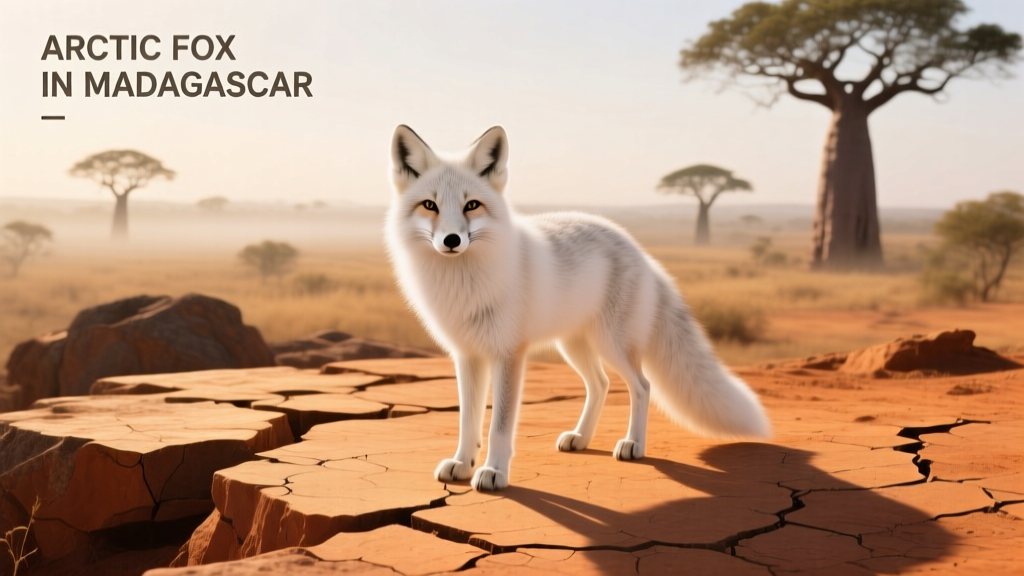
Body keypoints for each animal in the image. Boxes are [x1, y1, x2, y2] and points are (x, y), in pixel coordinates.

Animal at [385, 125, 771, 491]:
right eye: (430, 206)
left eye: (472, 206)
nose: (452, 240)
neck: (463, 282)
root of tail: (640, 252)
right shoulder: (467, 355)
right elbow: (468, 420)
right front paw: (462, 464)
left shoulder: (509, 353)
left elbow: (499, 426)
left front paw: (494, 472)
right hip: (573, 346)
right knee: (600, 384)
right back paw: (581, 438)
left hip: (612, 345)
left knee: (642, 386)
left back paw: (633, 445)